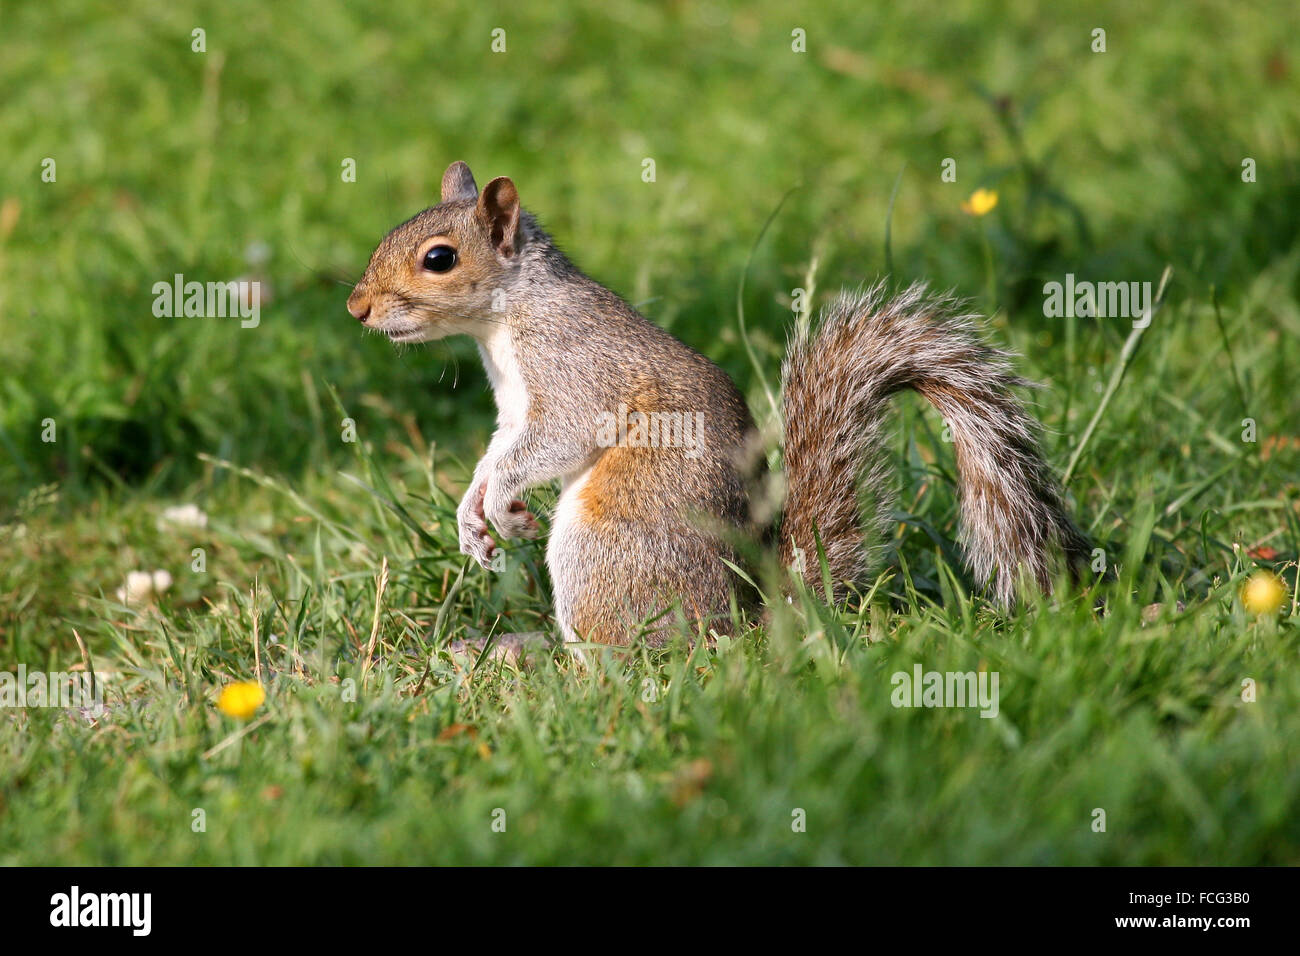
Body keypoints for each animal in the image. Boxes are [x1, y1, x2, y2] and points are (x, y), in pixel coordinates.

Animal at [347, 161, 1091, 648]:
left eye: (439, 258)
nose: (356, 308)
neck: (506, 318)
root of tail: (741, 619)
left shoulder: (574, 369)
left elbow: (555, 437)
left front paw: (500, 503)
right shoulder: (511, 406)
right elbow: (499, 447)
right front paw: (470, 513)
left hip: (606, 541)